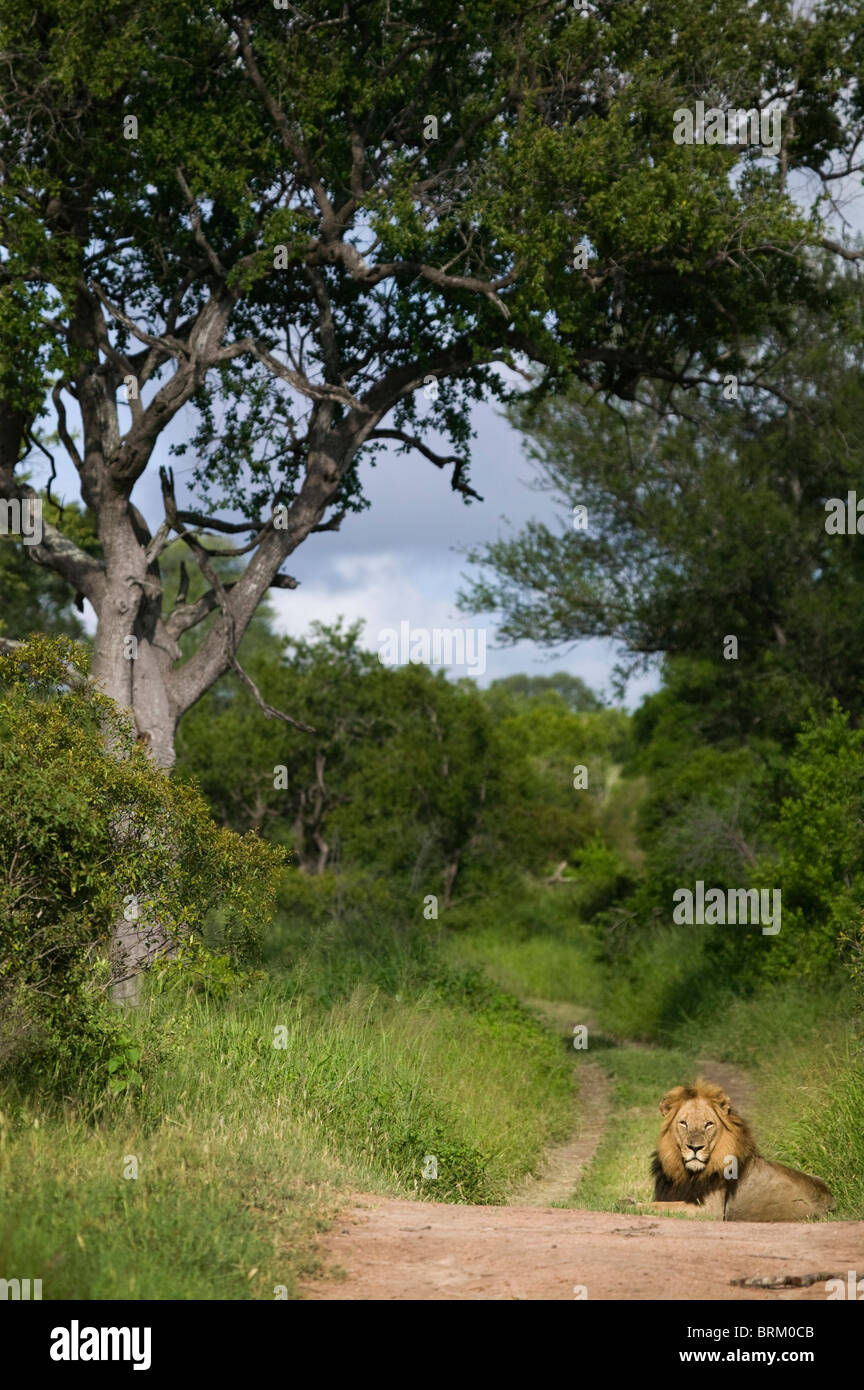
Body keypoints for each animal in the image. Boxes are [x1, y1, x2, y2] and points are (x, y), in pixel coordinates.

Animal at [649, 1079, 834, 1221]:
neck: (686, 1174)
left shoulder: (710, 1210)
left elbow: (657, 1206)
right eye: (683, 1123)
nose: (695, 1147)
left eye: (708, 1124)